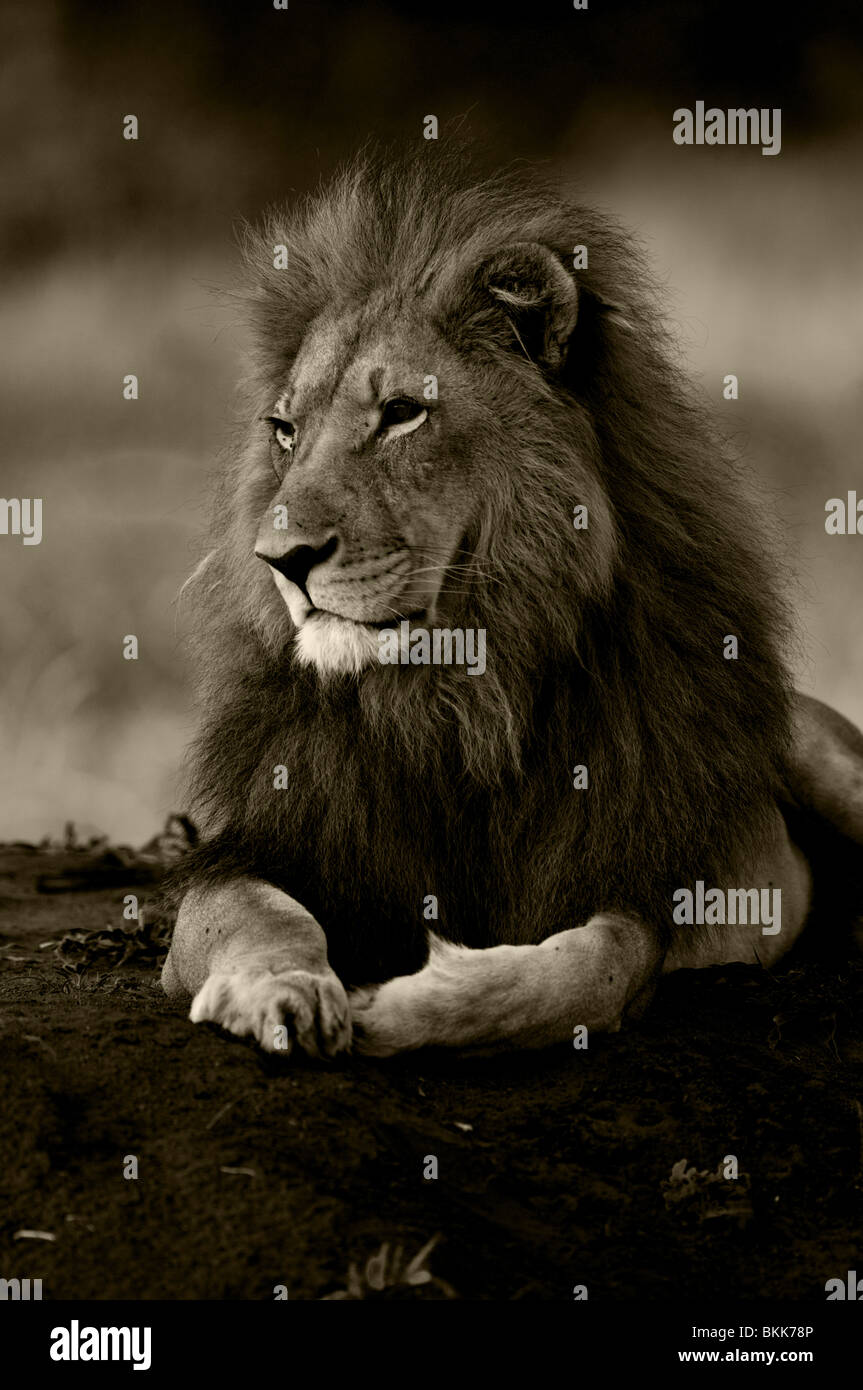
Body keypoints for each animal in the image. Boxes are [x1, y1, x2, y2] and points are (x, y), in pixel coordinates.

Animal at [162, 146, 863, 1058]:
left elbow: (592, 964)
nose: (280, 561)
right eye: (284, 431)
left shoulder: (634, 874)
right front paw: (283, 990)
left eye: (402, 414)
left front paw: (410, 1007)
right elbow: (259, 917)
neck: (456, 693)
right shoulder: (262, 851)